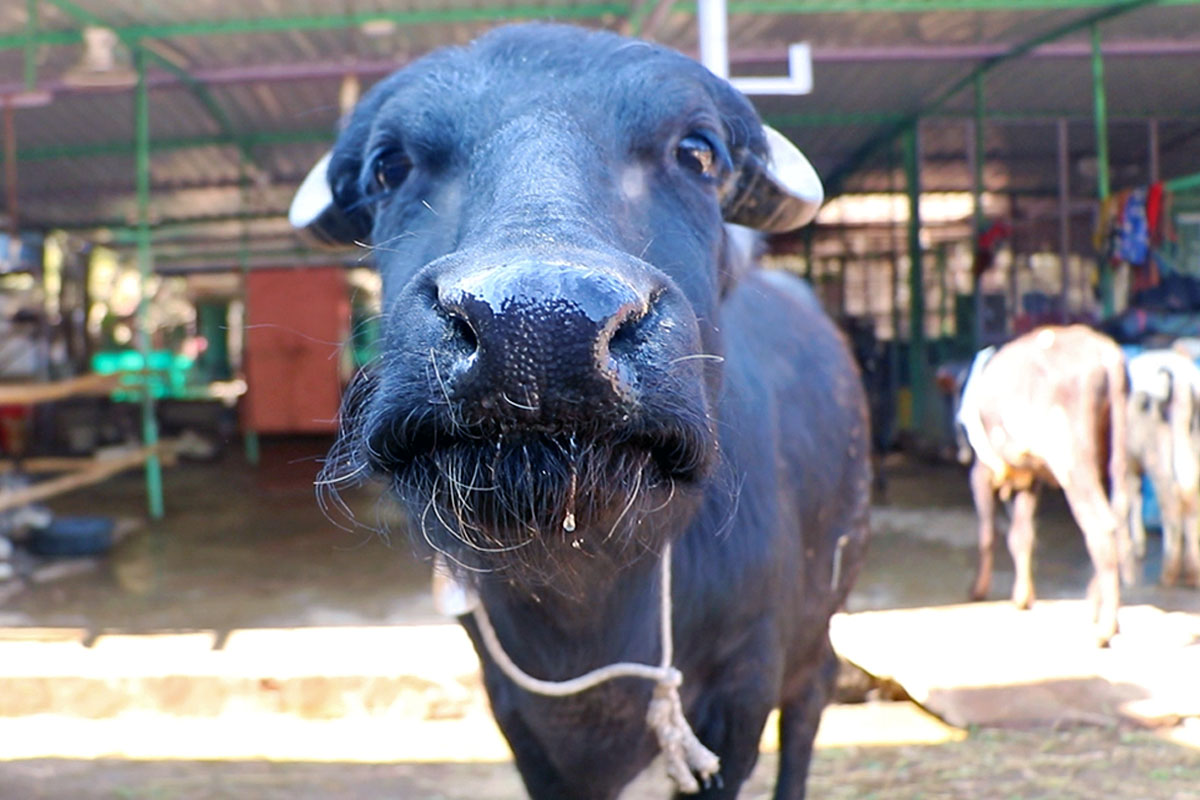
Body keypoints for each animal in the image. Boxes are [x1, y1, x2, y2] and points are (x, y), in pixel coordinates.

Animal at [294, 24, 869, 798]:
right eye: (389, 166)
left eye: (698, 152)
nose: (537, 326)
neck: (586, 594)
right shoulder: (516, 709)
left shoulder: (744, 683)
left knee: (814, 693)